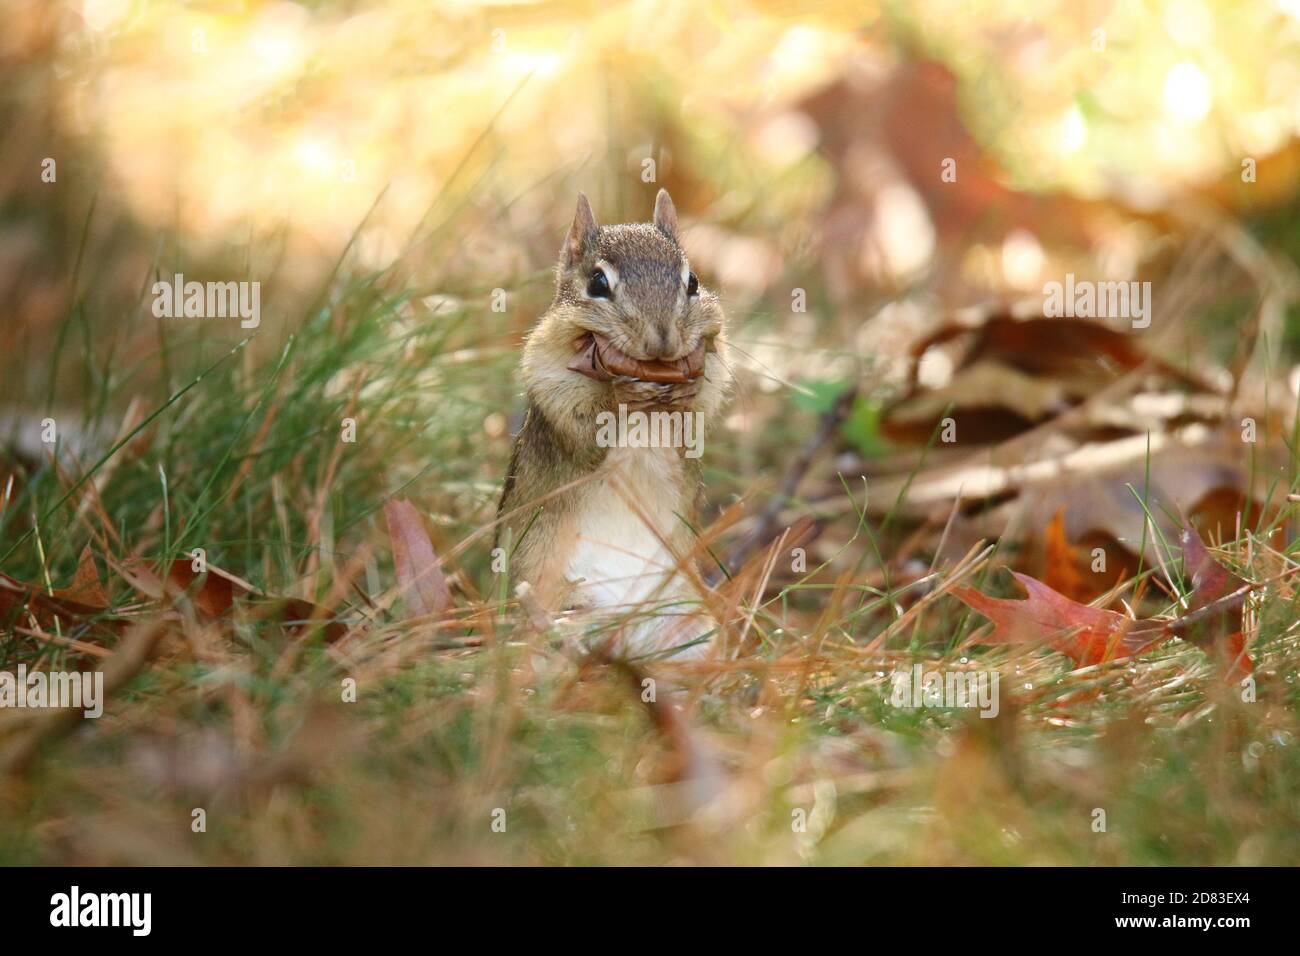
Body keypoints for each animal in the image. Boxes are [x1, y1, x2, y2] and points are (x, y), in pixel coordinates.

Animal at [497, 189, 731, 659]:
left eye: (693, 282)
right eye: (598, 284)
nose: (662, 342)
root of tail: (623, 639)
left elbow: (696, 413)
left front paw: (683, 394)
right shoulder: (550, 379)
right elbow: (585, 425)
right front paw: (620, 394)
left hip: (692, 628)